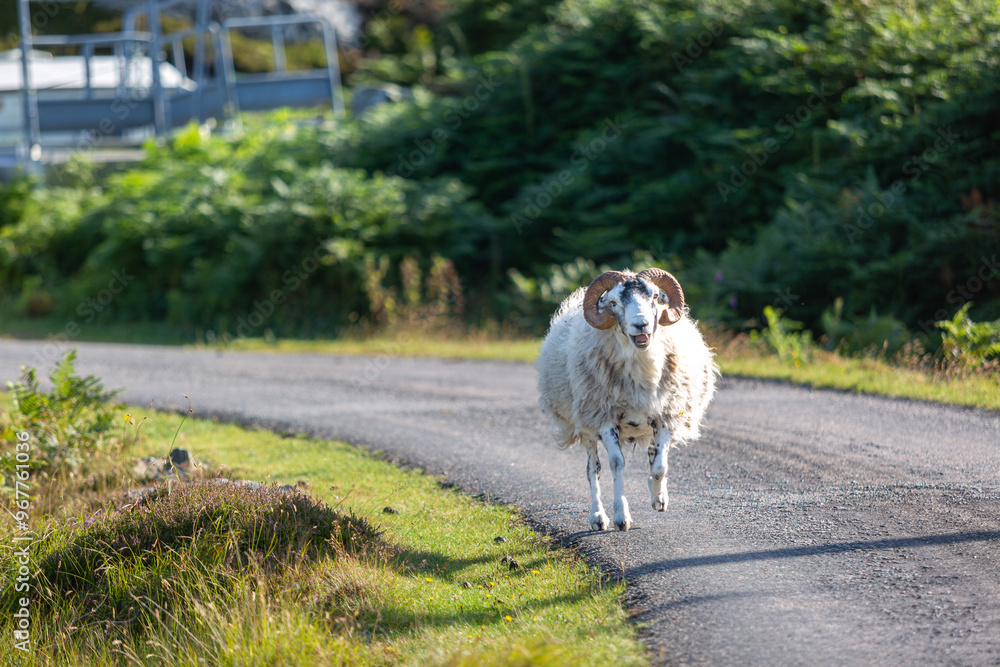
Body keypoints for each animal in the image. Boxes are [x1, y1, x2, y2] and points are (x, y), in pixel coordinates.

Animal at [536, 268, 717, 531]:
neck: (642, 370)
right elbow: (616, 464)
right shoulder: (604, 418)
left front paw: (658, 498)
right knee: (593, 470)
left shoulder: (666, 415)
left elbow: (660, 467)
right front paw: (621, 517)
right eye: (613, 303)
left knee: (653, 455)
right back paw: (598, 517)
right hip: (587, 422)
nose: (640, 324)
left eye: (655, 296)